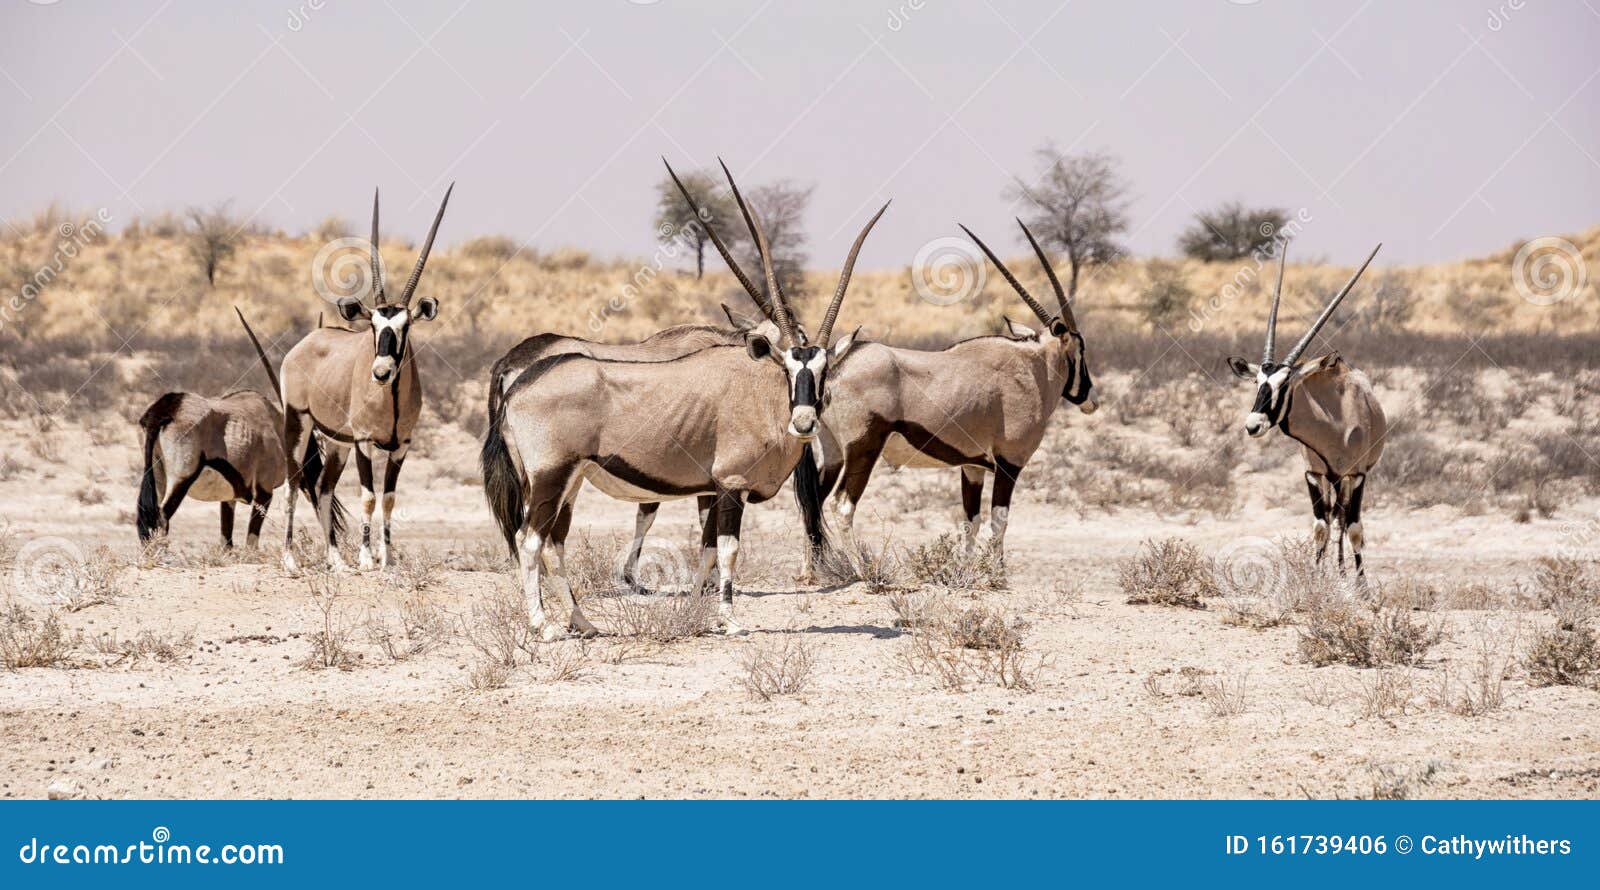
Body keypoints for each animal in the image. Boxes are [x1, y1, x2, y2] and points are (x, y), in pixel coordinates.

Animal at [134, 309, 341, 548]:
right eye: (311, 450)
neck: (275, 426)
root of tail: (166, 408)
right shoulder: (264, 491)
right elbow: (251, 543)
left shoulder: (229, 499)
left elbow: (227, 542)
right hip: (181, 479)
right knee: (162, 517)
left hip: (158, 477)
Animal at [278, 185, 453, 572]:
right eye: (373, 325)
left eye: (405, 326)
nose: (381, 372)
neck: (392, 400)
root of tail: (305, 344)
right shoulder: (364, 441)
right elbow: (369, 496)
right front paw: (366, 557)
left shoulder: (401, 445)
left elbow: (388, 498)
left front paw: (387, 557)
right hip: (298, 422)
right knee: (294, 482)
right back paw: (290, 559)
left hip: (337, 442)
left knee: (324, 487)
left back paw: (335, 560)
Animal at [481, 161, 886, 638]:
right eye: (787, 365)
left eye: (822, 369)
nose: (804, 422)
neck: (758, 392)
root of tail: (517, 381)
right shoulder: (730, 487)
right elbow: (727, 549)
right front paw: (729, 619)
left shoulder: (711, 489)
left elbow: (707, 549)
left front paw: (695, 608)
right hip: (549, 477)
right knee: (529, 539)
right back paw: (543, 625)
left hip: (569, 480)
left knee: (554, 541)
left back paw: (583, 621)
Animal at [808, 219, 1099, 569]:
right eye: (1081, 350)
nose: (1091, 400)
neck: (1031, 370)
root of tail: (836, 367)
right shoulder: (1009, 462)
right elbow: (999, 520)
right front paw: (997, 572)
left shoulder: (972, 467)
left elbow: (970, 521)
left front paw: (967, 569)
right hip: (863, 448)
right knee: (842, 505)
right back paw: (861, 570)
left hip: (833, 451)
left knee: (813, 503)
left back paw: (812, 571)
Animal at [1226, 243, 1386, 575]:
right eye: (1257, 381)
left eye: (1285, 383)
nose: (1253, 425)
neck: (1335, 424)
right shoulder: (1313, 473)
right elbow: (1320, 527)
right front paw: (1316, 578)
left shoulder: (1358, 474)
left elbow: (1354, 529)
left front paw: (1360, 585)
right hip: (1332, 479)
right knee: (1334, 517)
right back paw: (1337, 570)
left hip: (1347, 479)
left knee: (1344, 519)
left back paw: (1345, 572)